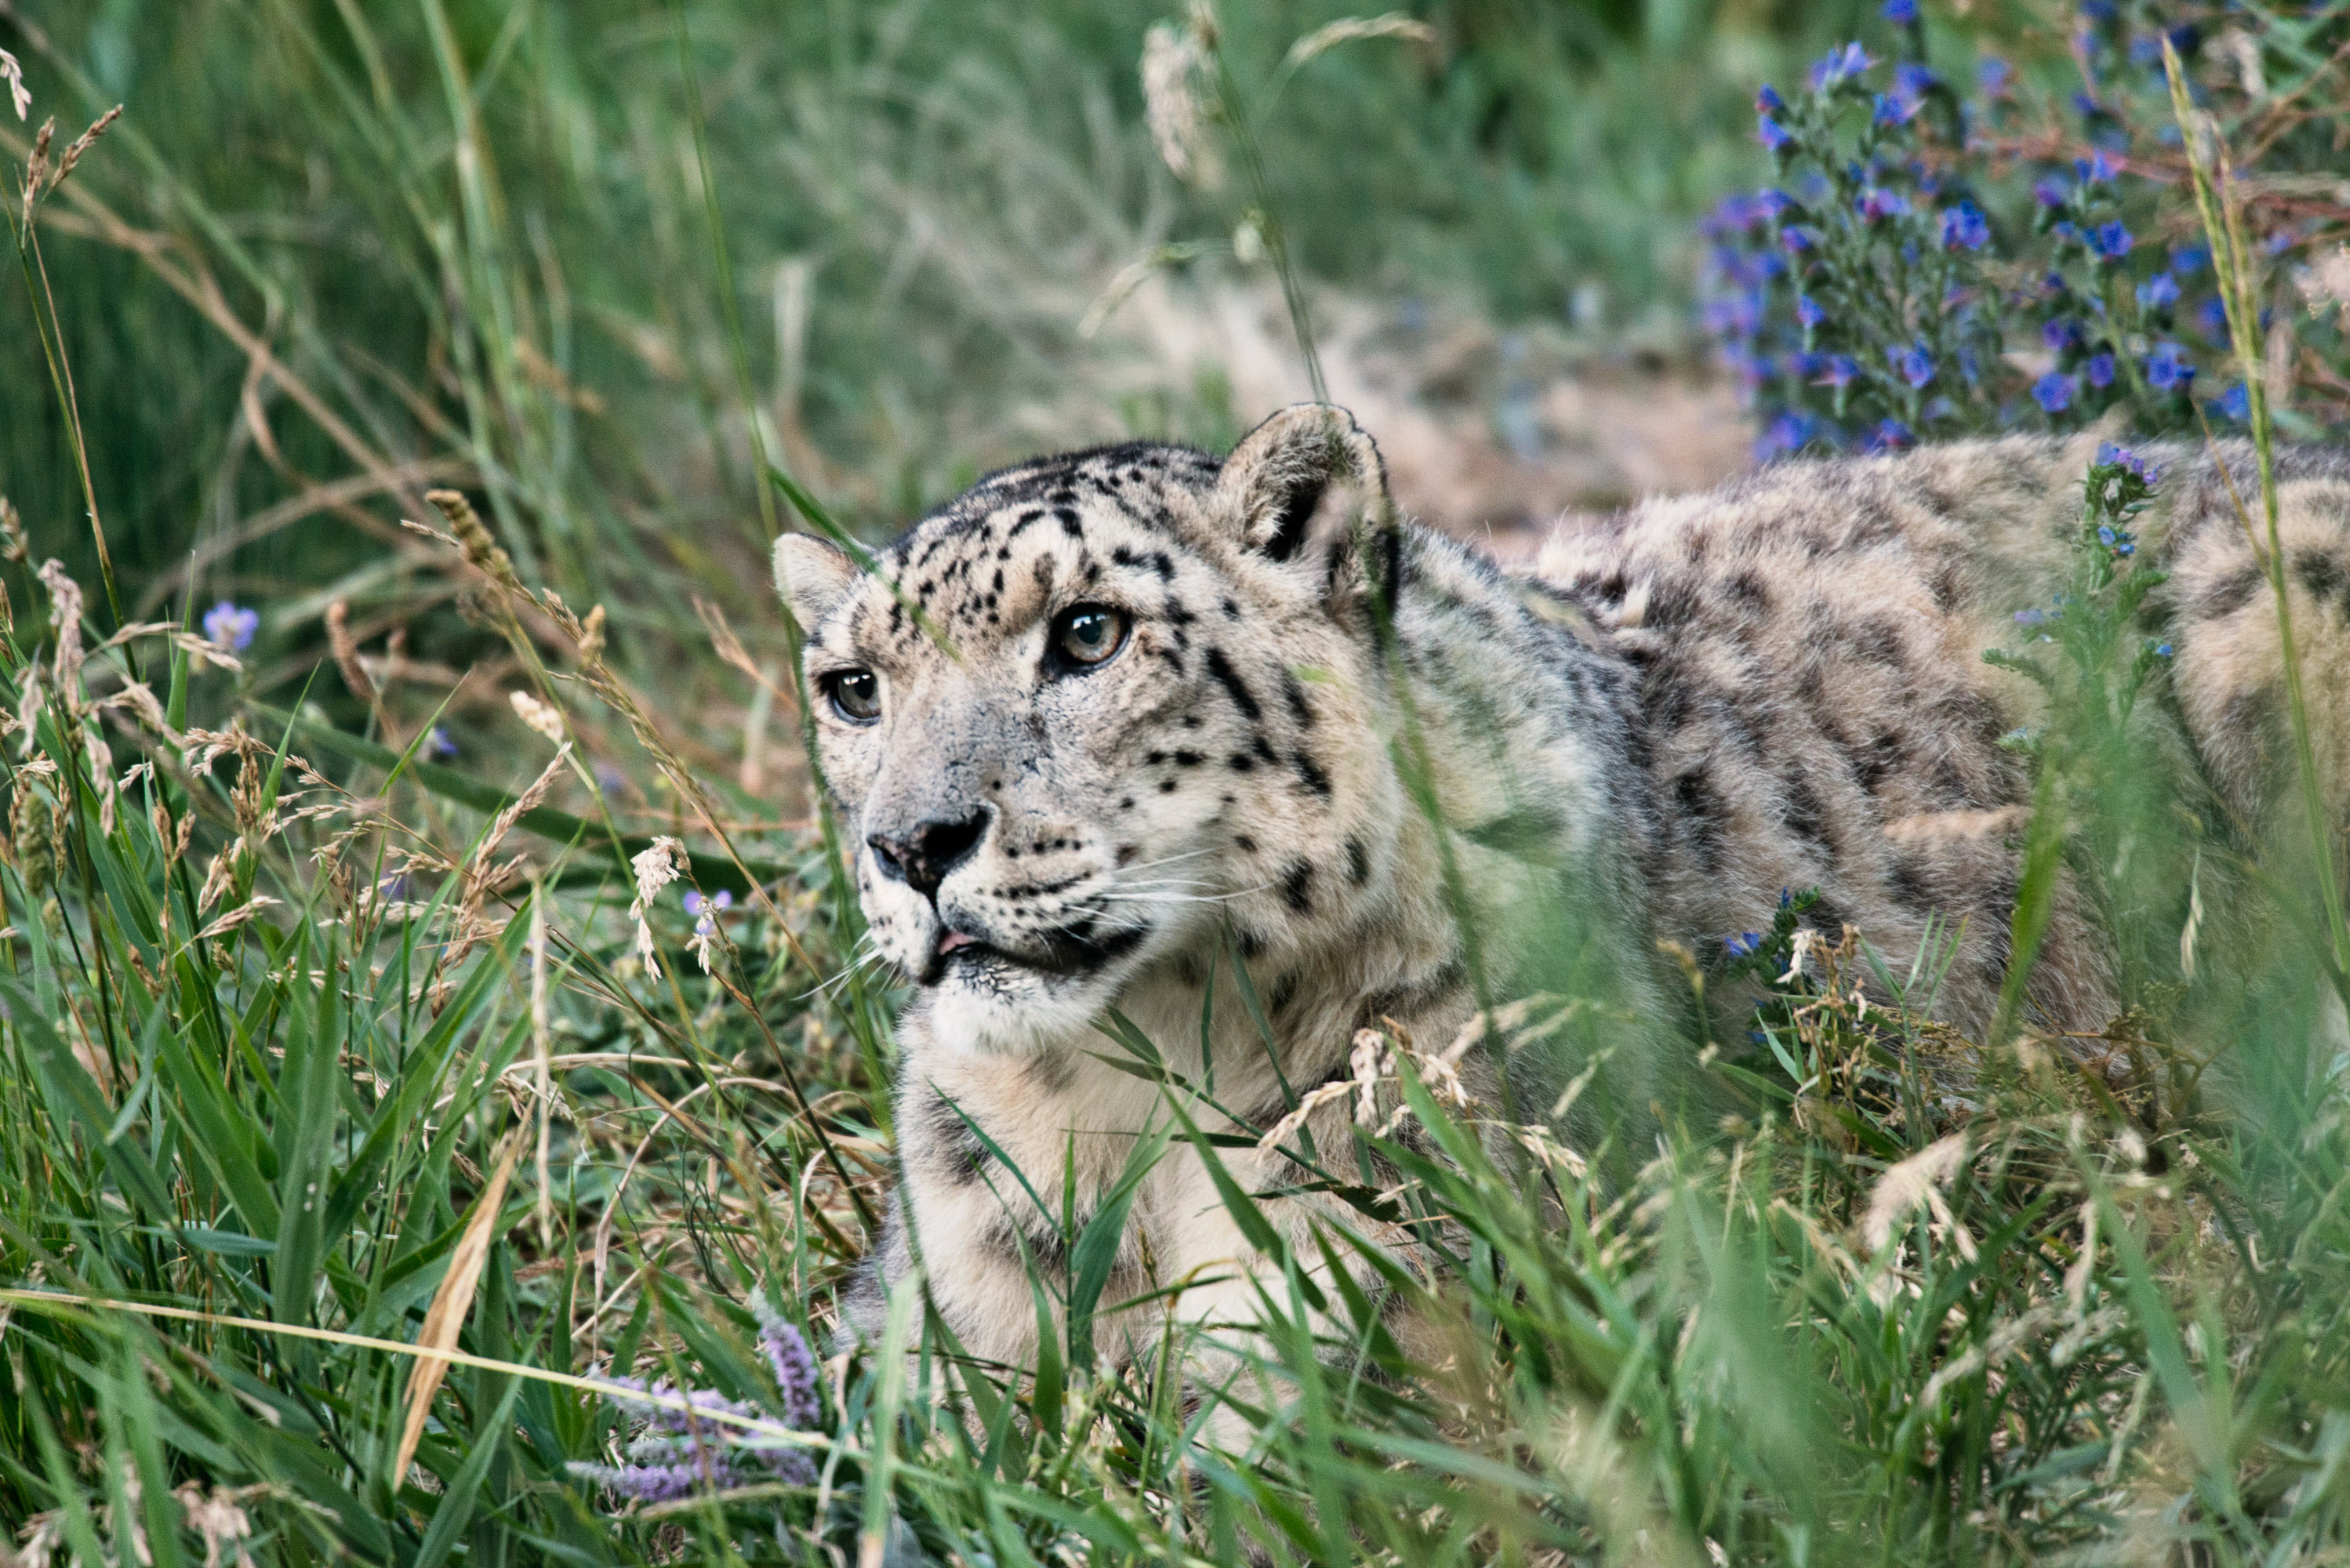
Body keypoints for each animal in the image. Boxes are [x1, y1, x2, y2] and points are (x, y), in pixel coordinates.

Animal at [773, 403, 2350, 1406]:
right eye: (852, 687)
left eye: (1088, 632)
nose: (912, 844)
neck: (1137, 1084)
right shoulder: (937, 1304)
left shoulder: (1387, 1260)